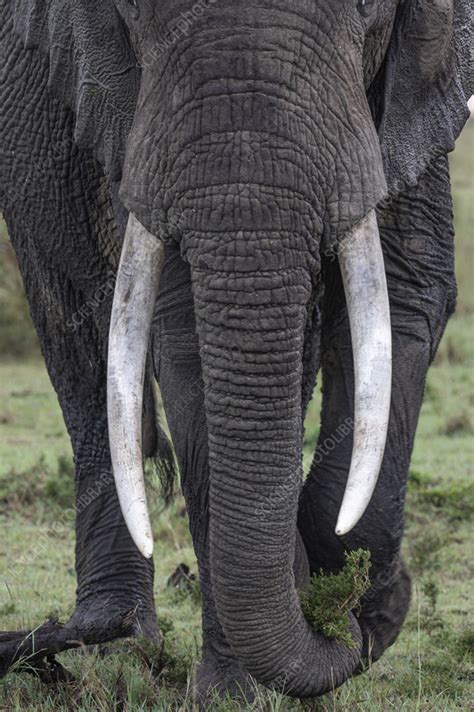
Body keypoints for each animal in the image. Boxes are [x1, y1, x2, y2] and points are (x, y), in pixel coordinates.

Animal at [0, 0, 472, 702]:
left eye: (369, 10)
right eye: (133, 12)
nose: (341, 620)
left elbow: (409, 295)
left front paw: (361, 598)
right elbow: (189, 338)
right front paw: (239, 690)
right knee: (74, 334)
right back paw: (114, 636)